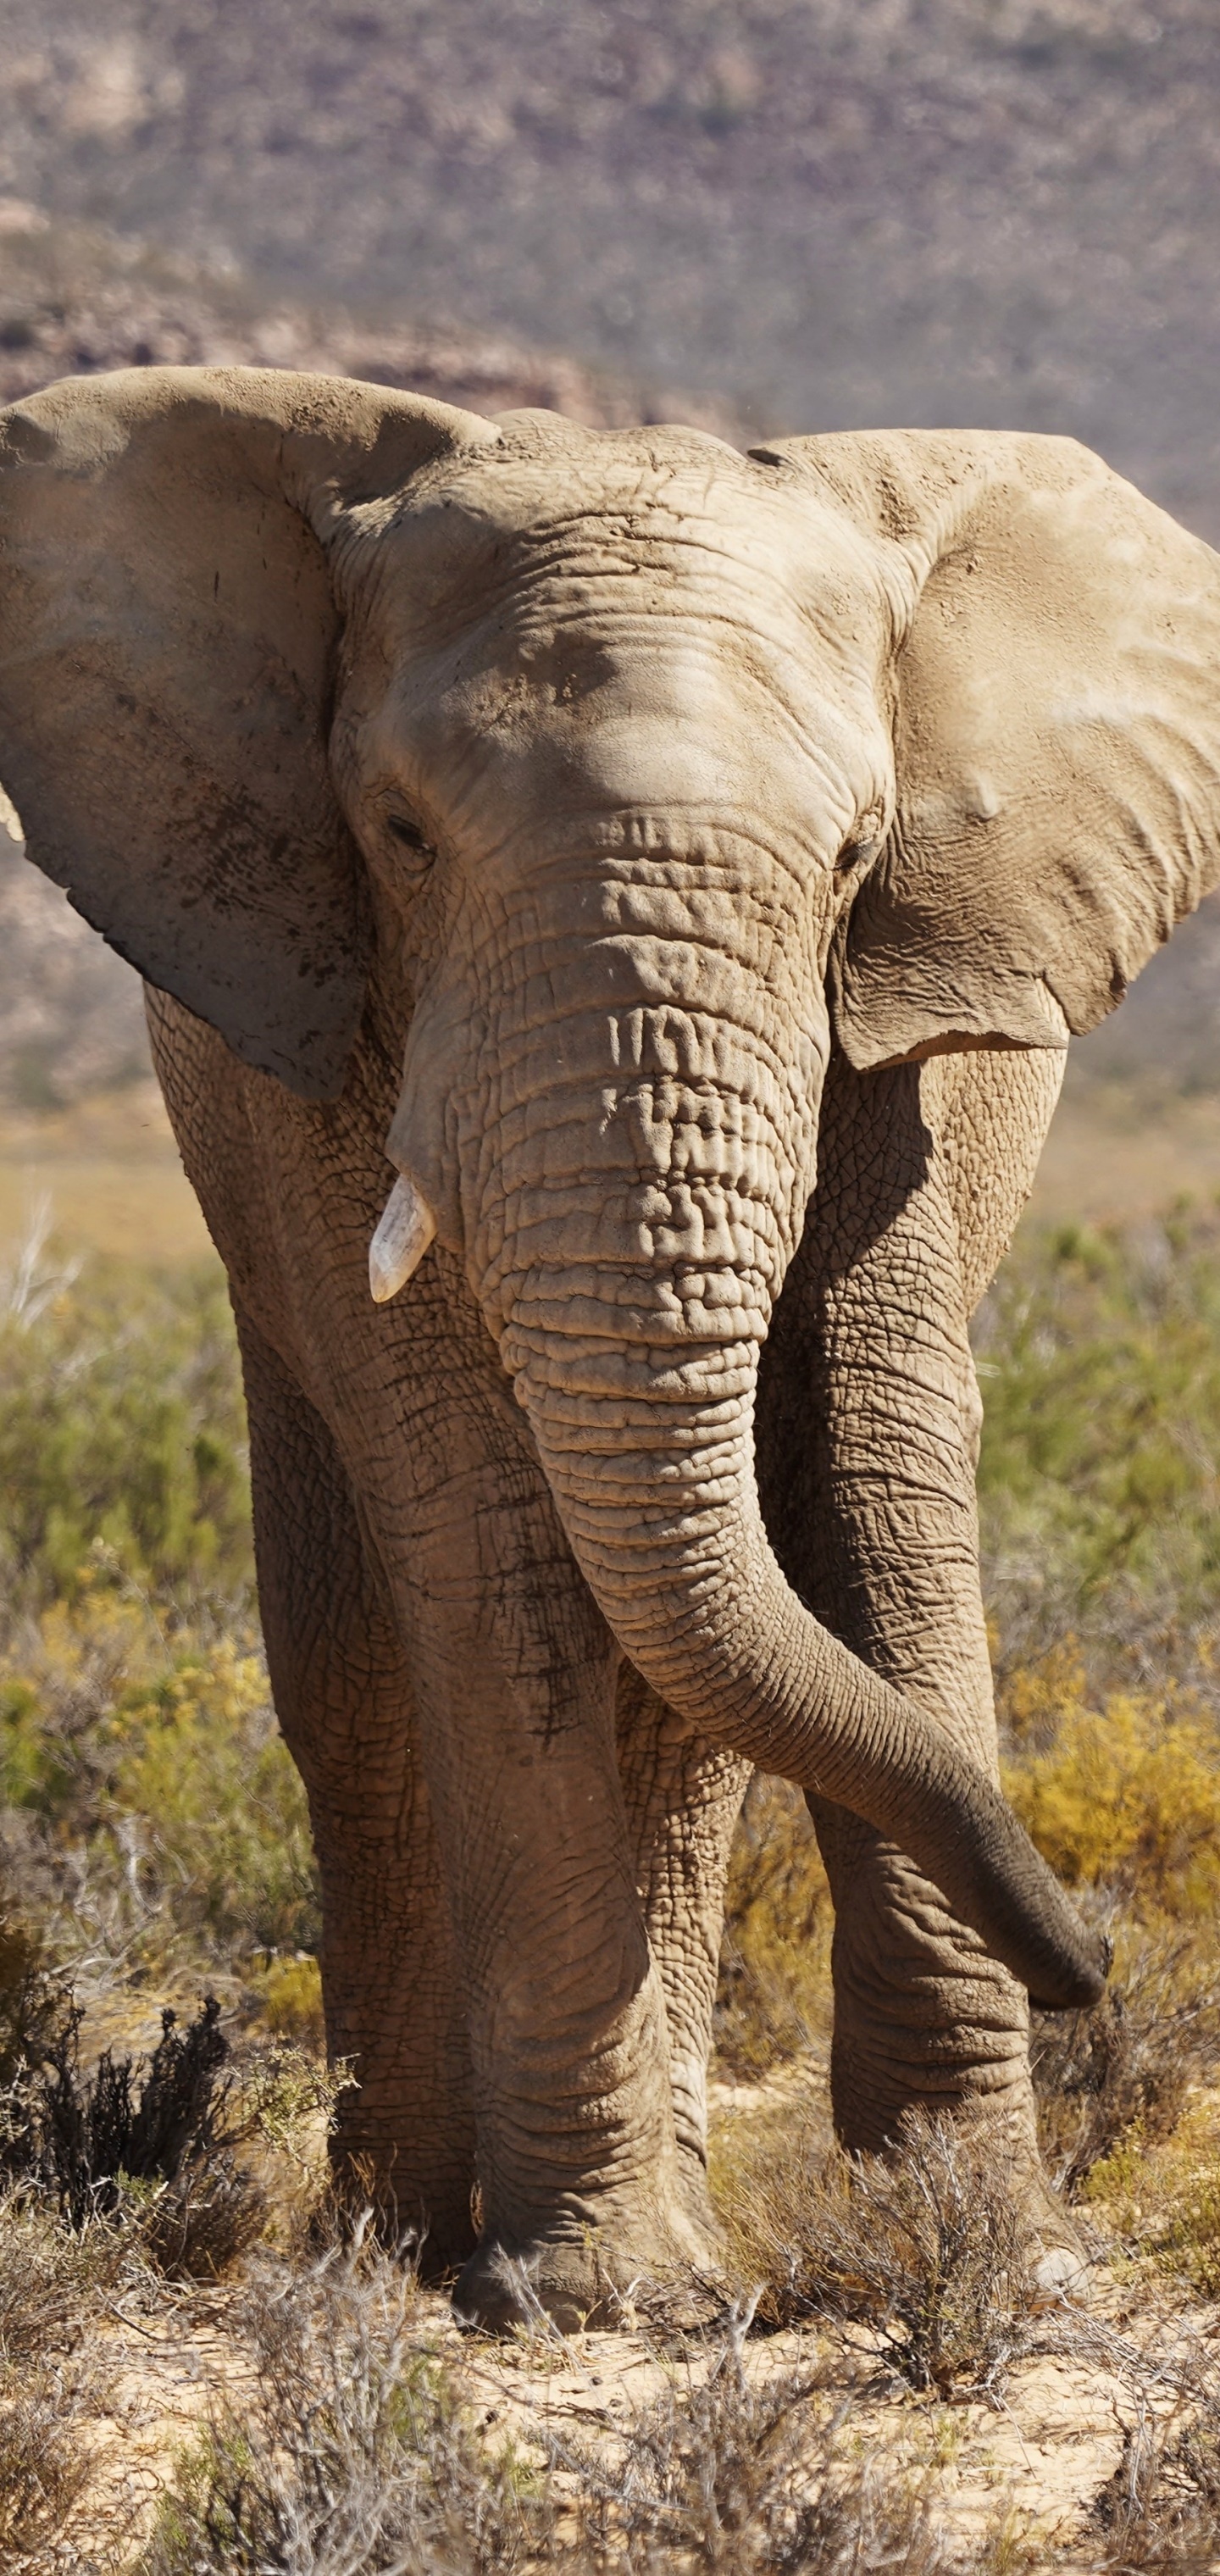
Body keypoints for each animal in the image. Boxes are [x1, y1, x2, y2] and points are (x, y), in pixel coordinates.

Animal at [3, 364, 1215, 2331]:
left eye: (858, 855)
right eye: (401, 834)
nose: (1091, 1959)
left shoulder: (907, 1016)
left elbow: (873, 1482)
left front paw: (985, 2249)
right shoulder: (336, 1029)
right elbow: (493, 1546)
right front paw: (592, 2297)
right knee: (362, 1669)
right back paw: (398, 2236)